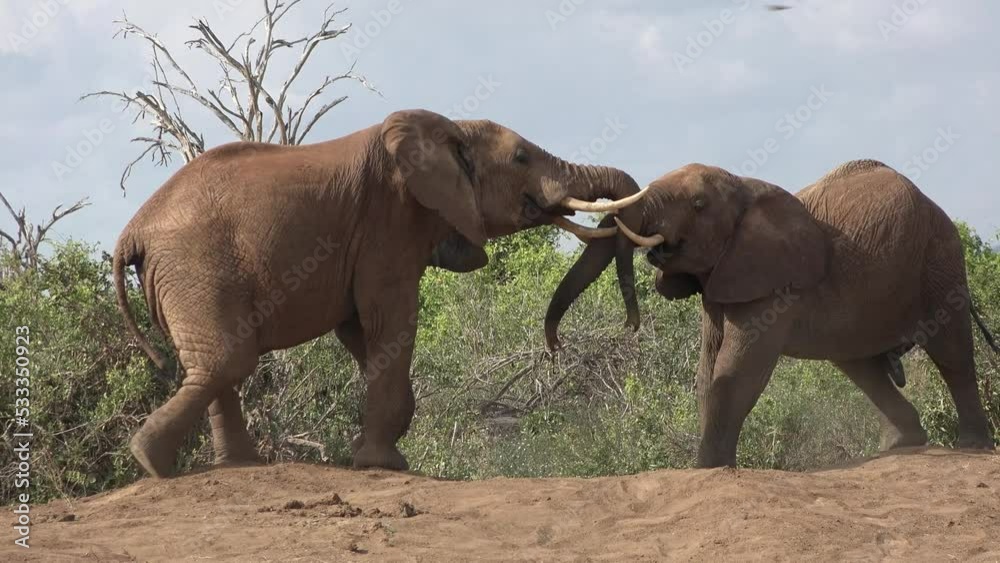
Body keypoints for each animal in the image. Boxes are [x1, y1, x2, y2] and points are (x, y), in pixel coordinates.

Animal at [114, 108, 643, 477]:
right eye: (521, 159)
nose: (556, 347)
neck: (448, 126)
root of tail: (131, 234)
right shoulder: (388, 219)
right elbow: (389, 317)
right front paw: (383, 463)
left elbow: (358, 330)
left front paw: (374, 450)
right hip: (196, 266)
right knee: (230, 359)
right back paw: (151, 461)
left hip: (184, 275)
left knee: (217, 365)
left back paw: (233, 466)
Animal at [545, 159, 998, 468]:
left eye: (698, 204)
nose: (556, 347)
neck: (744, 188)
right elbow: (708, 371)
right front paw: (708, 467)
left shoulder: (773, 285)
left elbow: (738, 368)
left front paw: (709, 468)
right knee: (859, 364)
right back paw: (900, 445)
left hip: (939, 261)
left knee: (951, 351)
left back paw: (973, 446)